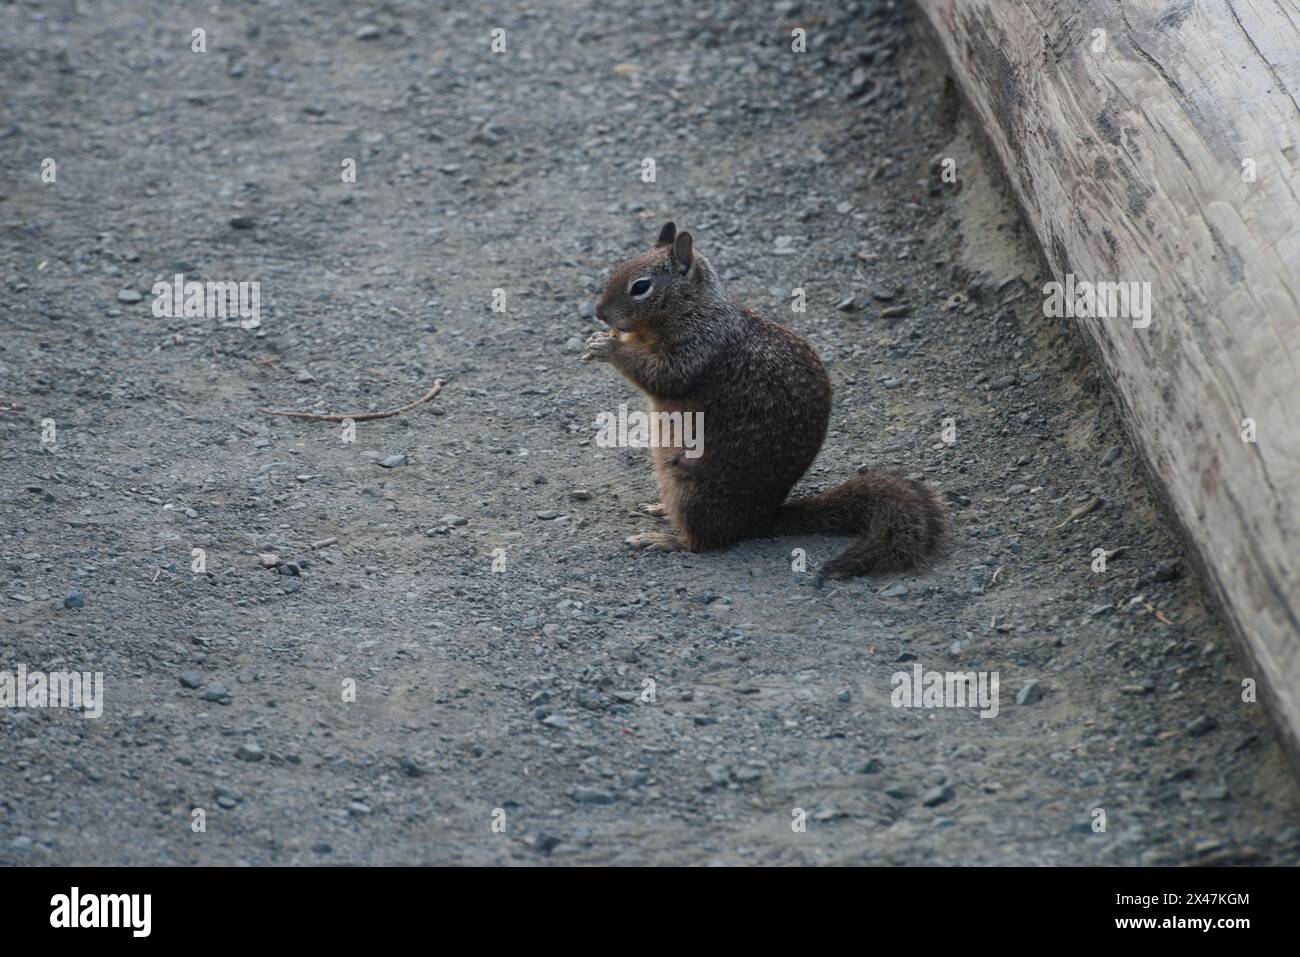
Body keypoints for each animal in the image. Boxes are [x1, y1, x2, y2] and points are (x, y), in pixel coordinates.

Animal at [582, 221, 948, 579]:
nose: (600, 313)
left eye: (641, 287)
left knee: (705, 543)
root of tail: (763, 519)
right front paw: (598, 340)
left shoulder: (698, 350)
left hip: (692, 492)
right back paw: (660, 509)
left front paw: (608, 346)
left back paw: (664, 540)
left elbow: (663, 376)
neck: (694, 308)